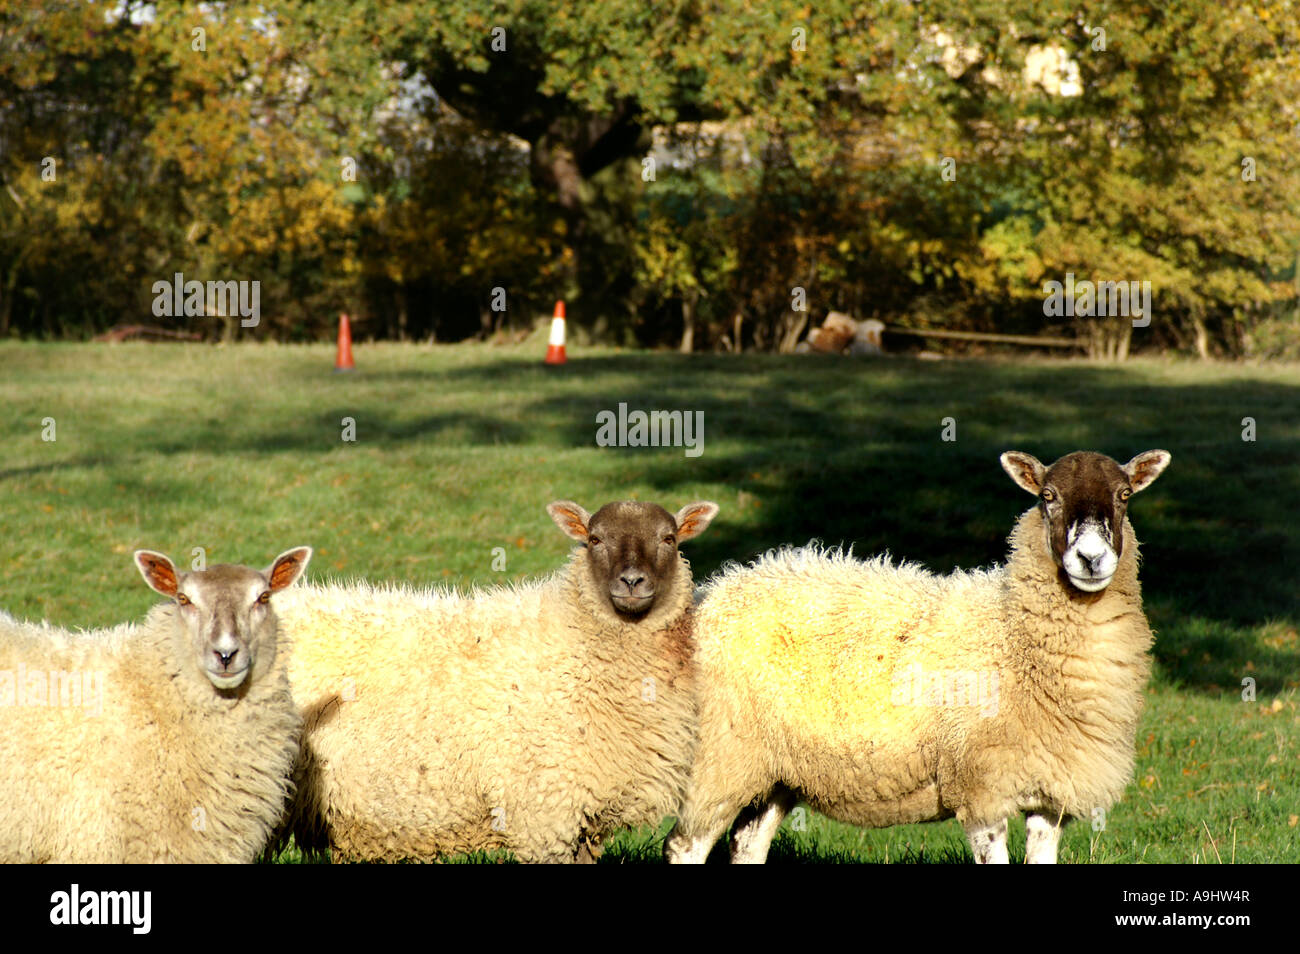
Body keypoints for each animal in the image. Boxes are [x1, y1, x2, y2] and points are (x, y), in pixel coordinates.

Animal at [276, 498, 719, 863]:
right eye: (594, 539)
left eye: (668, 538)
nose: (631, 581)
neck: (573, 639)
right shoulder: (546, 812)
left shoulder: (584, 818)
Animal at [666, 449, 1170, 865]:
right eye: (1048, 495)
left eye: (1125, 495)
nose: (1091, 559)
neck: (1010, 631)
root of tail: (716, 592)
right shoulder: (980, 789)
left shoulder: (1050, 793)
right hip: (720, 757)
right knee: (685, 845)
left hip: (778, 769)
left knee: (747, 844)